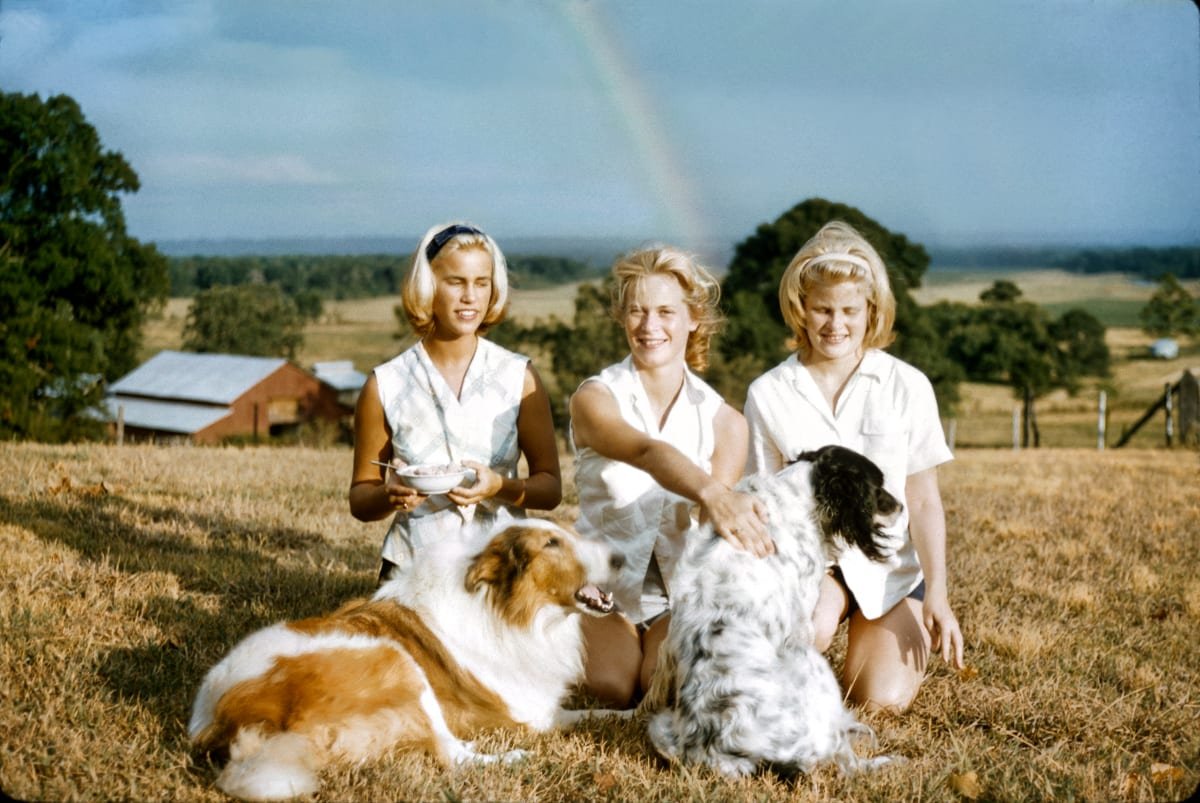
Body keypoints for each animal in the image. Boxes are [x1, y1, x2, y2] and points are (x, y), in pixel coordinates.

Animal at [192, 516, 624, 796]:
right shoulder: (533, 717)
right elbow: (594, 714)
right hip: (397, 659)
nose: (621, 557)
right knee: (451, 756)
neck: (501, 607)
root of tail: (233, 718)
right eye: (551, 544)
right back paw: (512, 758)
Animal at [638, 444, 902, 777]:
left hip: (661, 725)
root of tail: (713, 747)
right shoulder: (801, 624)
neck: (800, 498)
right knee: (846, 761)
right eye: (877, 486)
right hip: (813, 666)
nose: (901, 507)